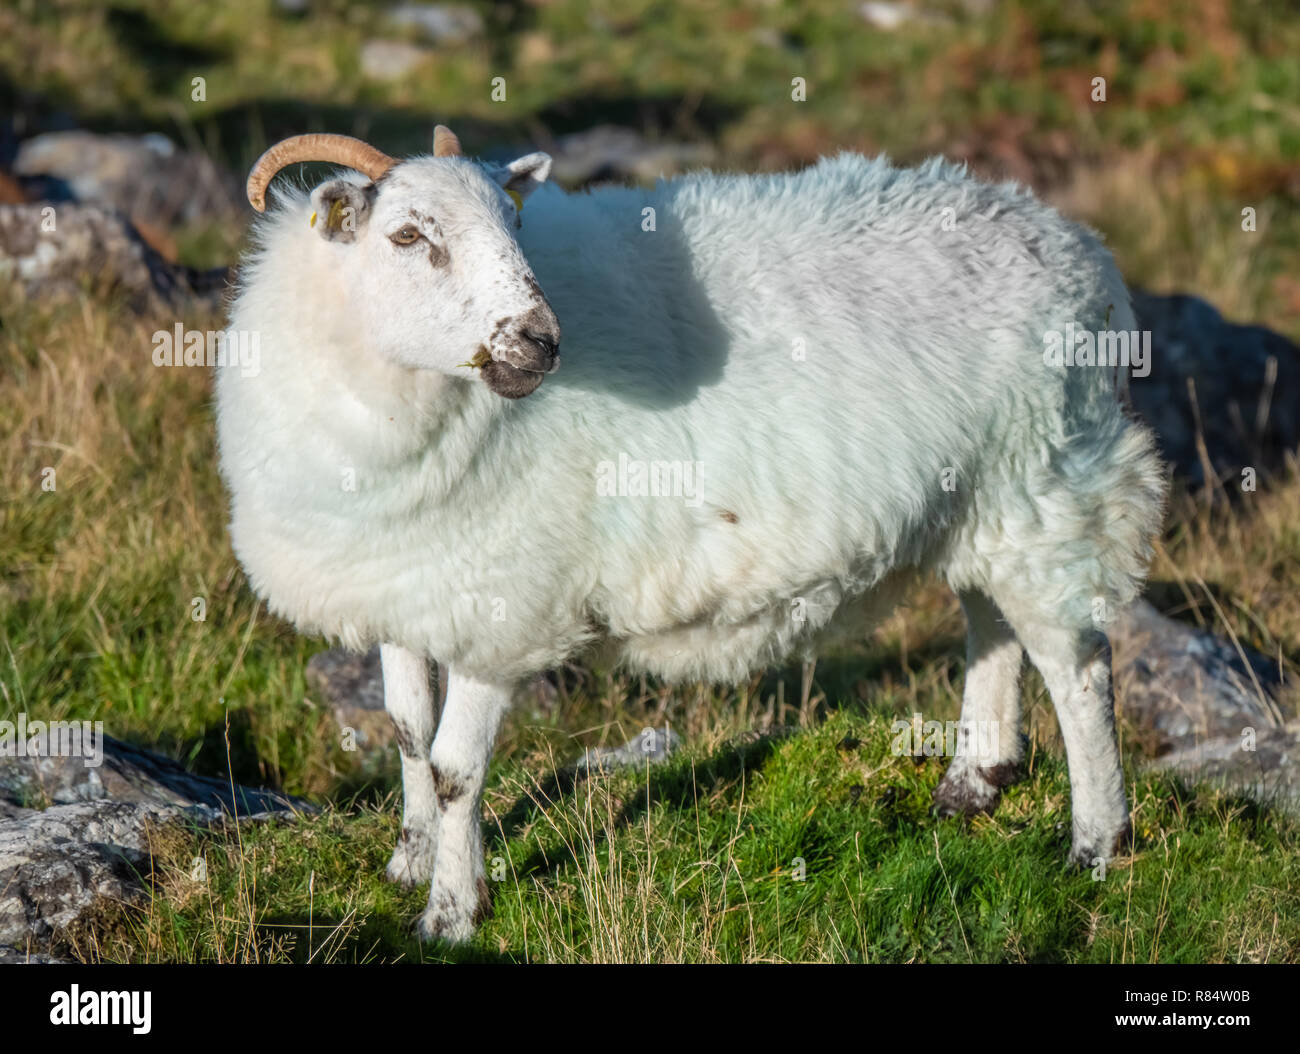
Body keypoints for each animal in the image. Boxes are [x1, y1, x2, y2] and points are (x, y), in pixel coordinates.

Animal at [216, 126, 1167, 942]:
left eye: (515, 222)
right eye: (409, 236)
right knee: (990, 619)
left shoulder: (502, 609)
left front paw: (452, 911)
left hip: (1049, 476)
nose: (538, 343)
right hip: (980, 495)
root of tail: (1079, 247)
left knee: (1077, 665)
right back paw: (974, 783)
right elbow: (409, 732)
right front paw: (408, 863)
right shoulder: (401, 583)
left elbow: (455, 769)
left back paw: (1096, 843)